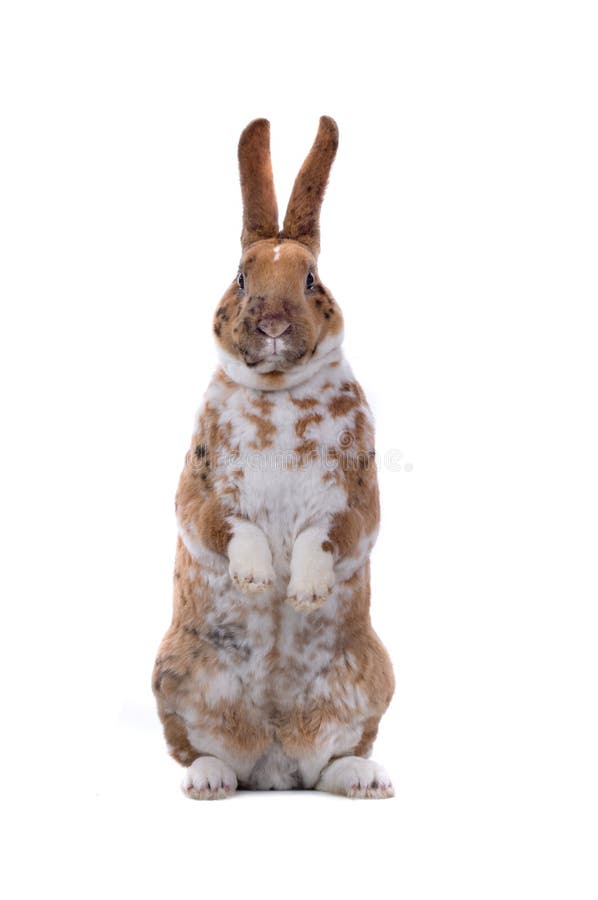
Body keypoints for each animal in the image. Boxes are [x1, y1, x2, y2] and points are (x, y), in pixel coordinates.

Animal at [152, 116, 395, 799]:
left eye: (312, 279)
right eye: (241, 276)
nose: (275, 323)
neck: (280, 390)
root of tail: (276, 762)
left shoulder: (356, 496)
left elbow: (329, 535)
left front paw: (305, 592)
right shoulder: (200, 487)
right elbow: (225, 526)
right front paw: (259, 580)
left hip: (372, 678)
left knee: (332, 762)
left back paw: (367, 780)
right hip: (172, 673)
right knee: (198, 751)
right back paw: (209, 783)